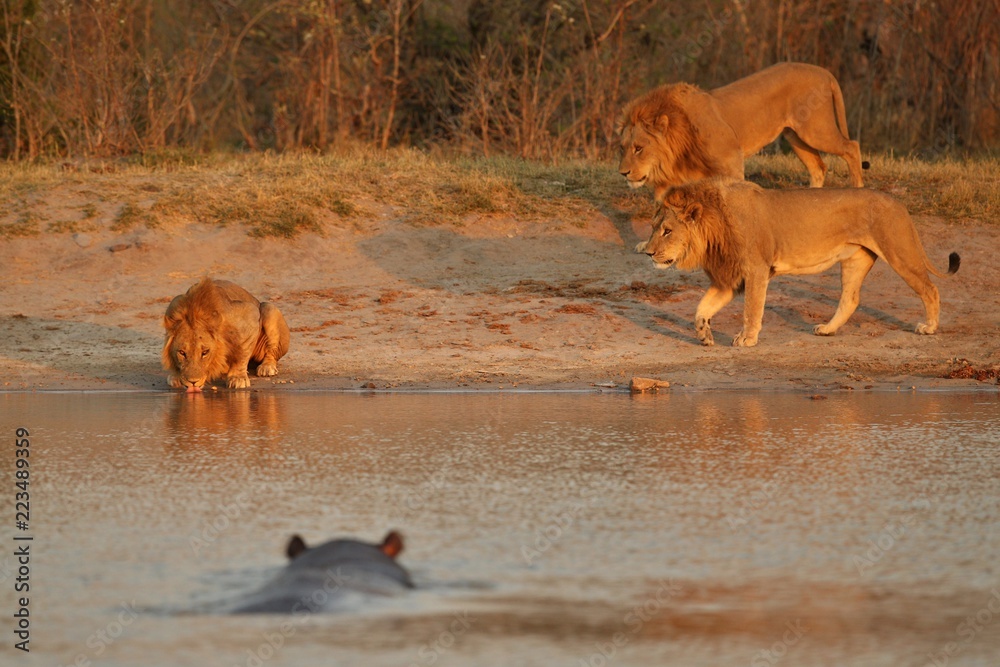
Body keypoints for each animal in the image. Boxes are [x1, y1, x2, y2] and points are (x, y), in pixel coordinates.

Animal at [162, 278, 290, 391]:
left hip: (269, 309)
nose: (193, 382)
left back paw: (267, 367)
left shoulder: (250, 315)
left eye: (205, 352)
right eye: (182, 352)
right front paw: (175, 376)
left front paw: (237, 378)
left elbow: (242, 352)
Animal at [618, 62, 867, 200]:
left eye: (638, 148)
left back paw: (858, 189)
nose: (623, 173)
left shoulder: (731, 160)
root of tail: (824, 72)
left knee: (851, 147)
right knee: (818, 167)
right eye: (622, 149)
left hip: (814, 130)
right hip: (794, 135)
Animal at [636, 178, 960, 347]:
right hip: (854, 260)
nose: (648, 253)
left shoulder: (756, 269)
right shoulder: (730, 278)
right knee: (851, 299)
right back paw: (827, 329)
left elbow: (751, 309)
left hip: (899, 251)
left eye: (667, 231)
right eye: (652, 227)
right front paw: (704, 335)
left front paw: (746, 339)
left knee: (930, 289)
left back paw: (929, 327)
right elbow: (700, 309)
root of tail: (900, 204)